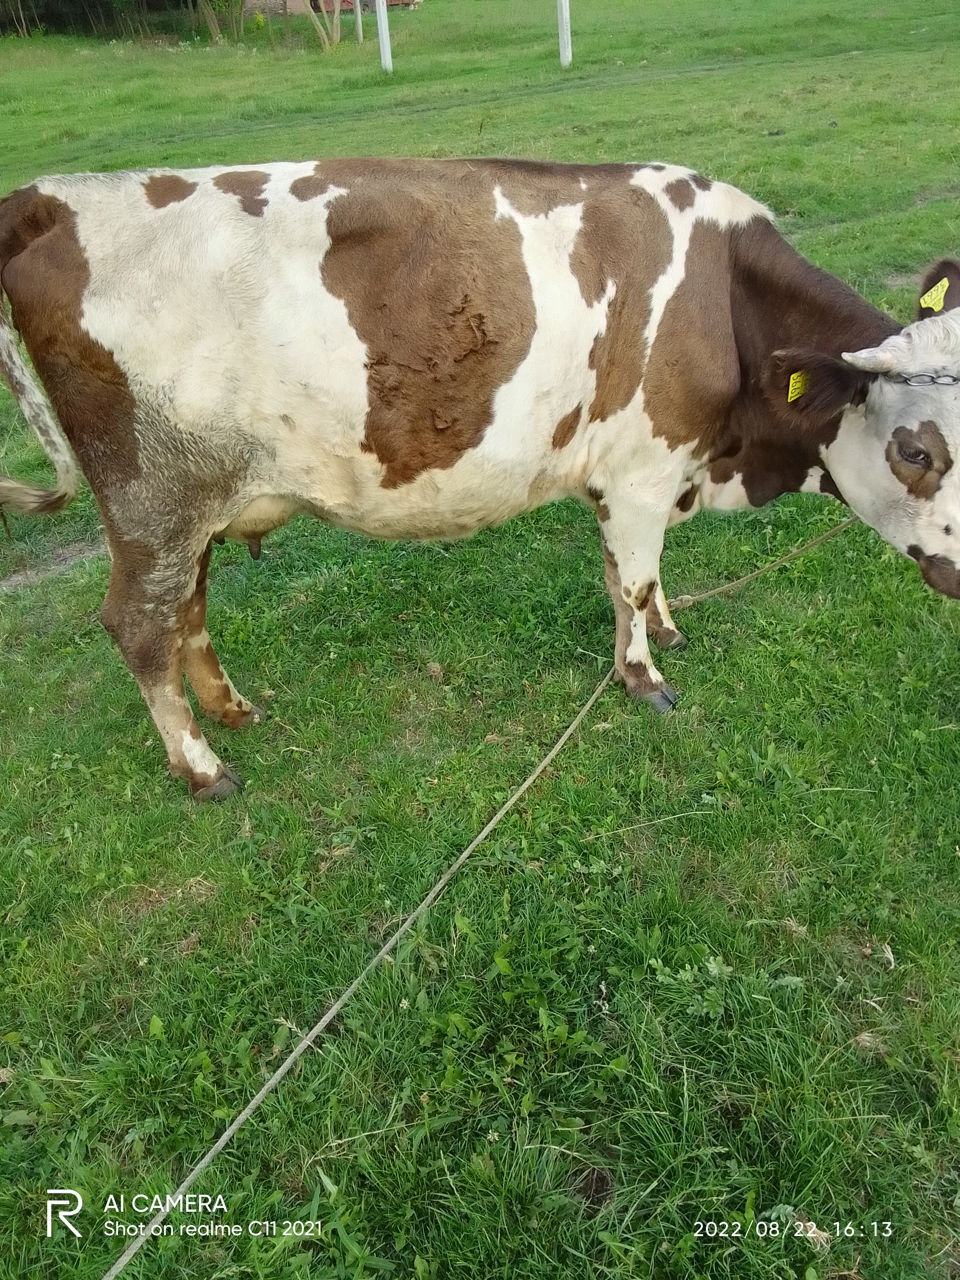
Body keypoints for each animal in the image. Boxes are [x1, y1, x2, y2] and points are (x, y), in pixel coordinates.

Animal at [1, 158, 959, 800]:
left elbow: (627, 579)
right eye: (916, 452)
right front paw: (644, 679)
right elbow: (634, 576)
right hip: (150, 502)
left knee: (187, 614)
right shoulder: (643, 470)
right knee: (140, 626)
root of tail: (55, 195)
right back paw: (202, 767)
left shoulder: (623, 475)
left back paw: (232, 712)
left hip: (194, 500)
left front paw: (661, 631)